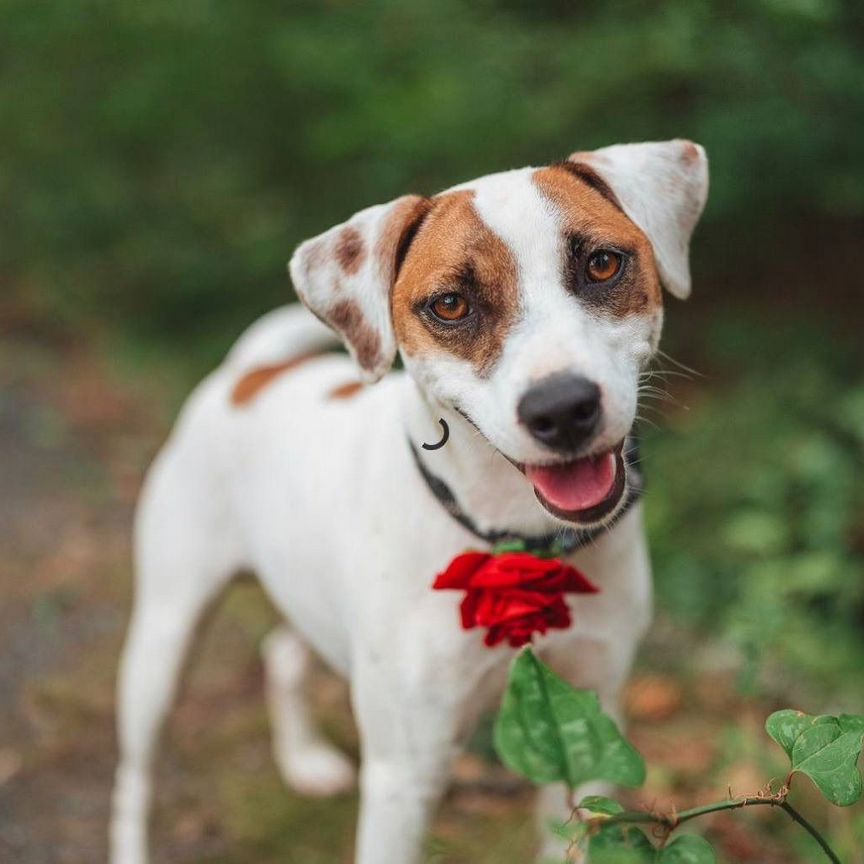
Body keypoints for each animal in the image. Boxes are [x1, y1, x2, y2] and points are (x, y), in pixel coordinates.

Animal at [109, 142, 708, 864]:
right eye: (449, 304)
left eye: (601, 263)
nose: (562, 409)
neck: (511, 537)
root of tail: (248, 373)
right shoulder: (404, 775)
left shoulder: (586, 733)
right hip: (164, 636)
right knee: (136, 774)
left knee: (281, 652)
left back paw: (305, 760)